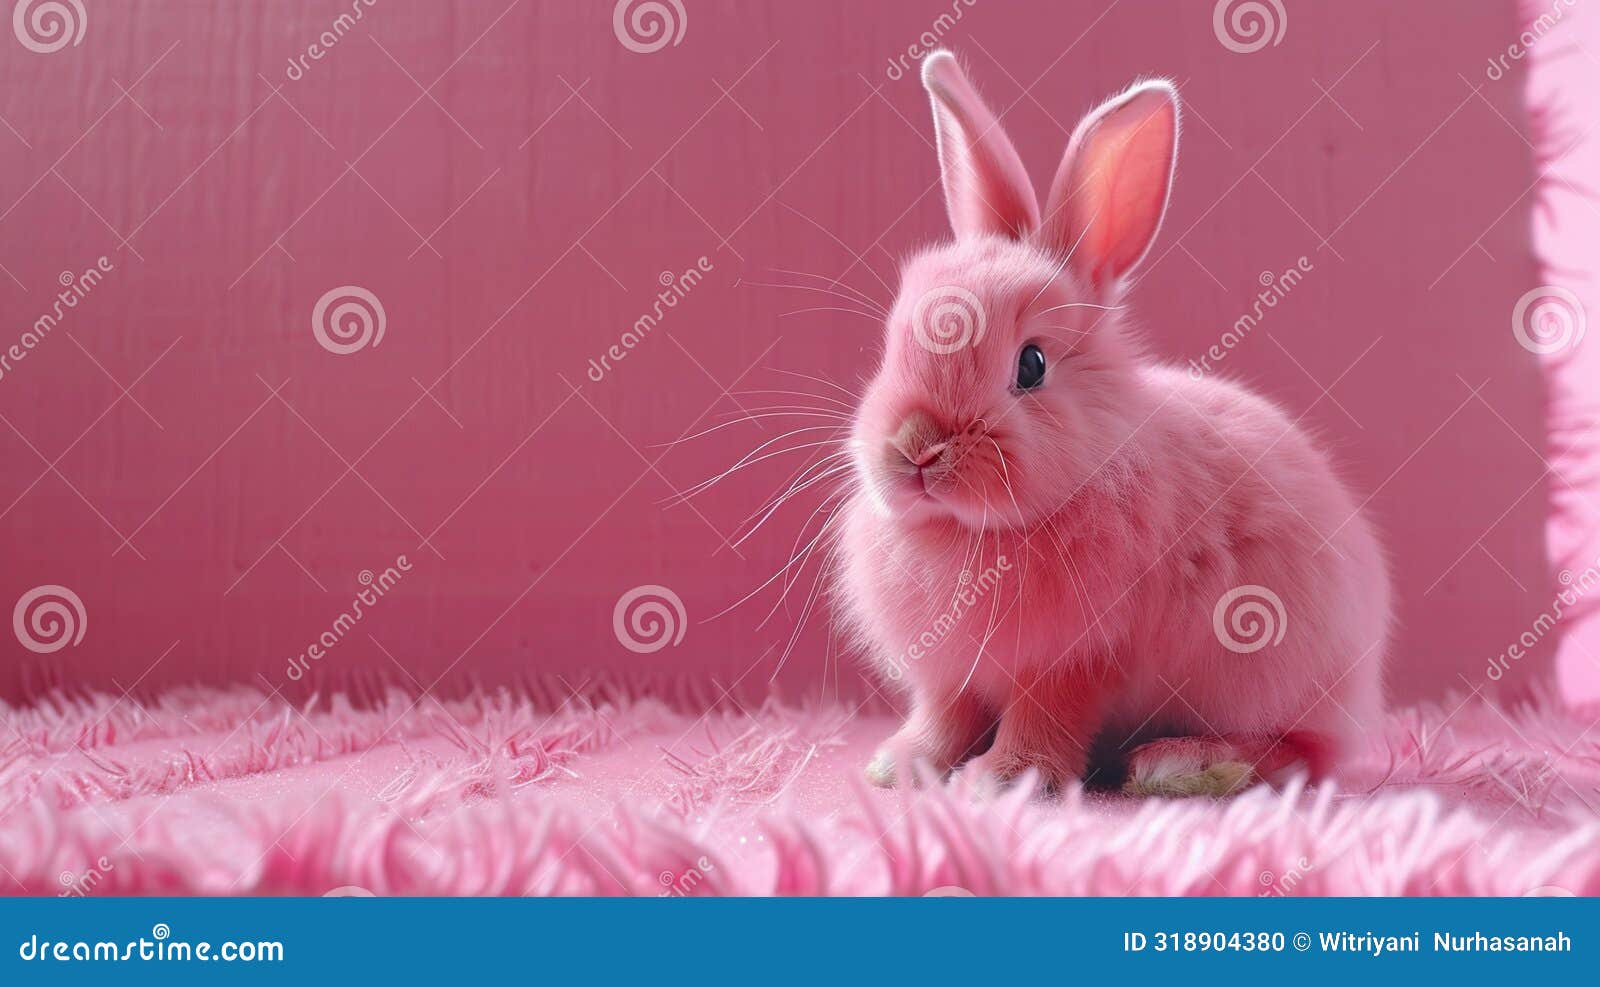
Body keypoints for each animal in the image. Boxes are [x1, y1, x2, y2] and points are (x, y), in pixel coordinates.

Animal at [834, 51, 1390, 796]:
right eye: (892, 343)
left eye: (1032, 364)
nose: (917, 448)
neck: (972, 533)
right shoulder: (952, 675)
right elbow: (944, 715)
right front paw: (902, 765)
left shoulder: (1076, 661)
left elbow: (1044, 716)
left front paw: (1003, 780)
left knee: (1300, 750)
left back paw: (1184, 763)